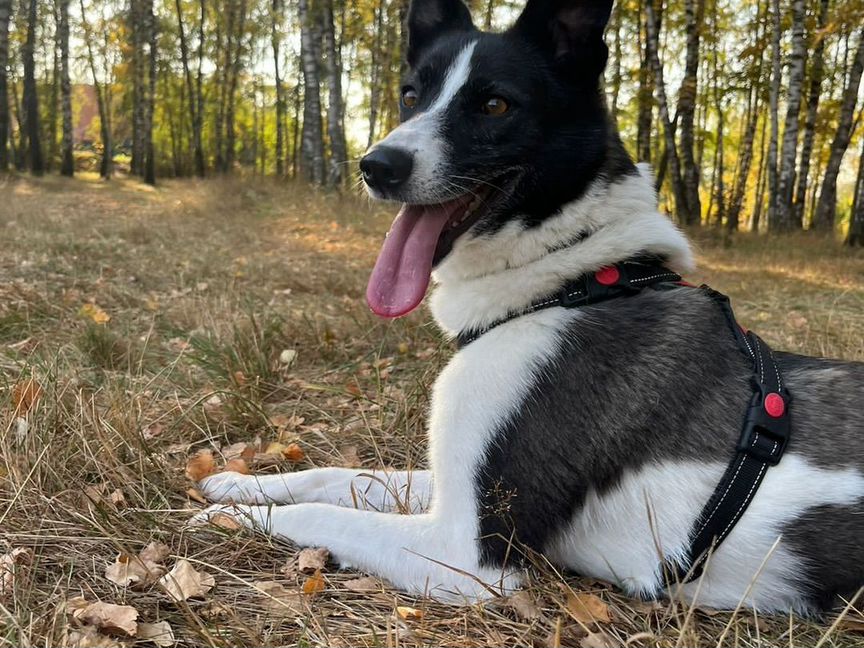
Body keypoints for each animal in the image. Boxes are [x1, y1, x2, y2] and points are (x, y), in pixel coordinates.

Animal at [196, 0, 864, 612]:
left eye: (495, 105)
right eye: (412, 94)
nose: (376, 166)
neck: (571, 280)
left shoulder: (466, 552)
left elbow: (321, 514)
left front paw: (229, 521)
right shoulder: (449, 486)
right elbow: (339, 476)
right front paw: (239, 486)